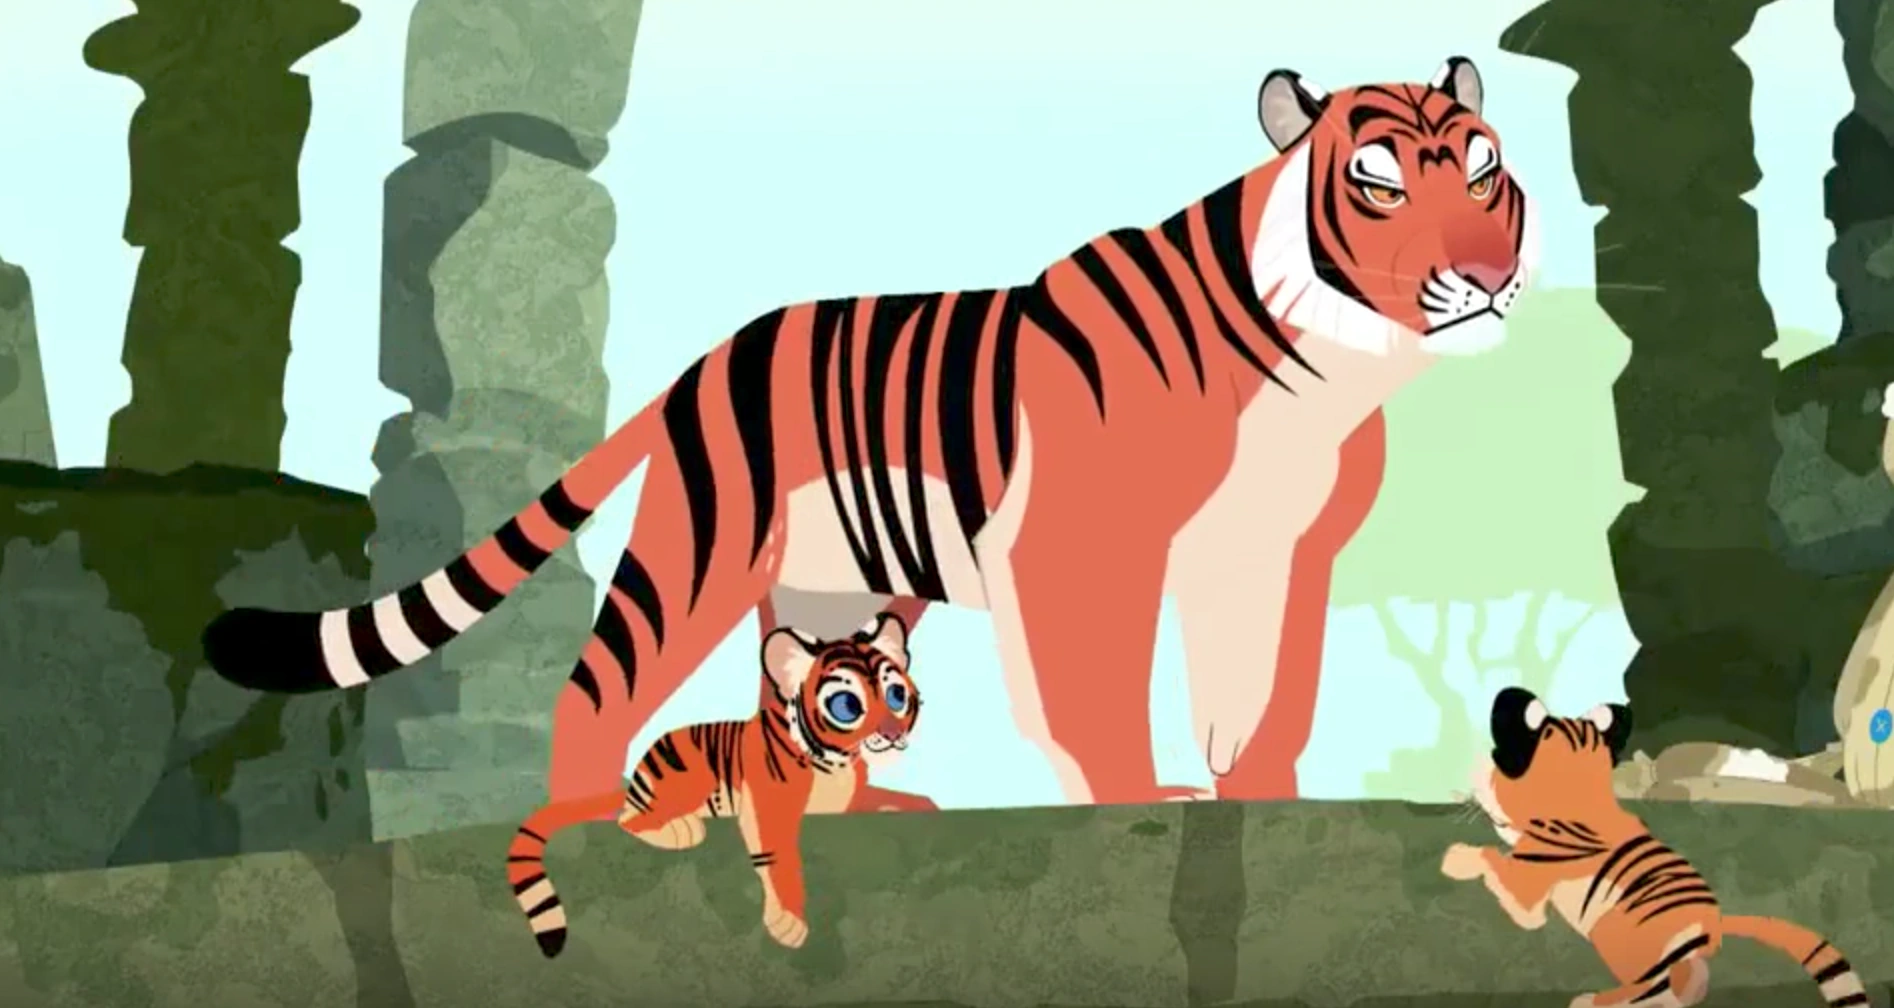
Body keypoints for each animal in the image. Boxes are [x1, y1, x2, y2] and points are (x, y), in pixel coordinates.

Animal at [199, 55, 1539, 811]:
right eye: (1376, 177)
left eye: (1483, 167)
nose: (1485, 276)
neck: (1325, 366)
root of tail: (700, 359)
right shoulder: (1080, 549)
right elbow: (1096, 693)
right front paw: (1133, 795)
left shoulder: (1276, 555)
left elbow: (1265, 696)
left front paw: (1262, 795)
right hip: (699, 554)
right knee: (597, 682)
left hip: (834, 590)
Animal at [507, 613, 920, 955]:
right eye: (847, 706)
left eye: (896, 695)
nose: (893, 734)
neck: (836, 761)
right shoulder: (768, 807)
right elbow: (780, 860)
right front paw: (788, 921)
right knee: (629, 819)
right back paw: (683, 829)